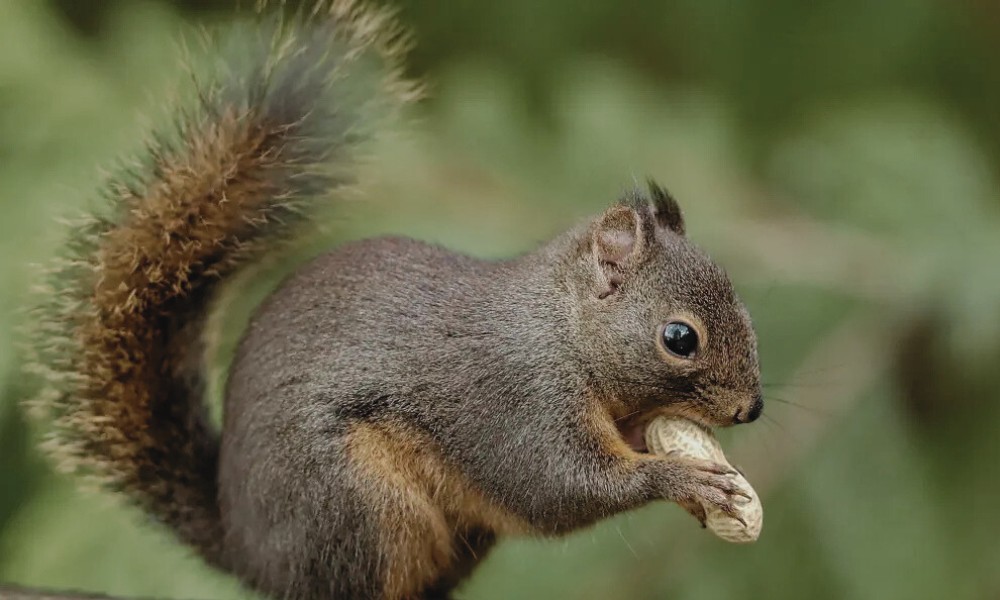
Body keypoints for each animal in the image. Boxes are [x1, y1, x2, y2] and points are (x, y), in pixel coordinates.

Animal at [12, 1, 764, 599]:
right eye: (679, 338)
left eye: (747, 313)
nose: (750, 410)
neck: (562, 333)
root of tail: (252, 555)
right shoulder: (516, 402)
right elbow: (560, 486)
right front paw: (684, 481)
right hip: (357, 506)